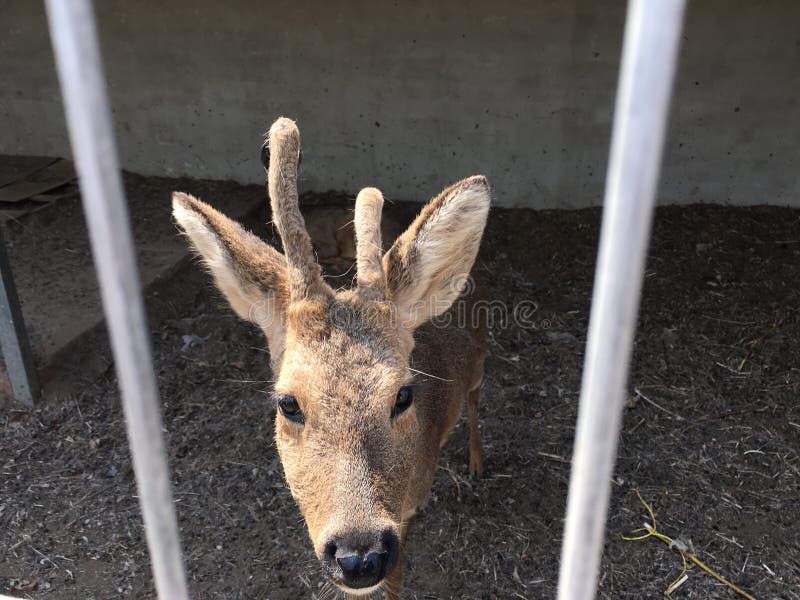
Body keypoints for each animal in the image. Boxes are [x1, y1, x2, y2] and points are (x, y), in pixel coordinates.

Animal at [171, 117, 490, 599]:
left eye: (403, 395)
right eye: (288, 403)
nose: (359, 555)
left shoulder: (407, 513)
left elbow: (397, 577)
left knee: (475, 396)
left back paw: (475, 463)